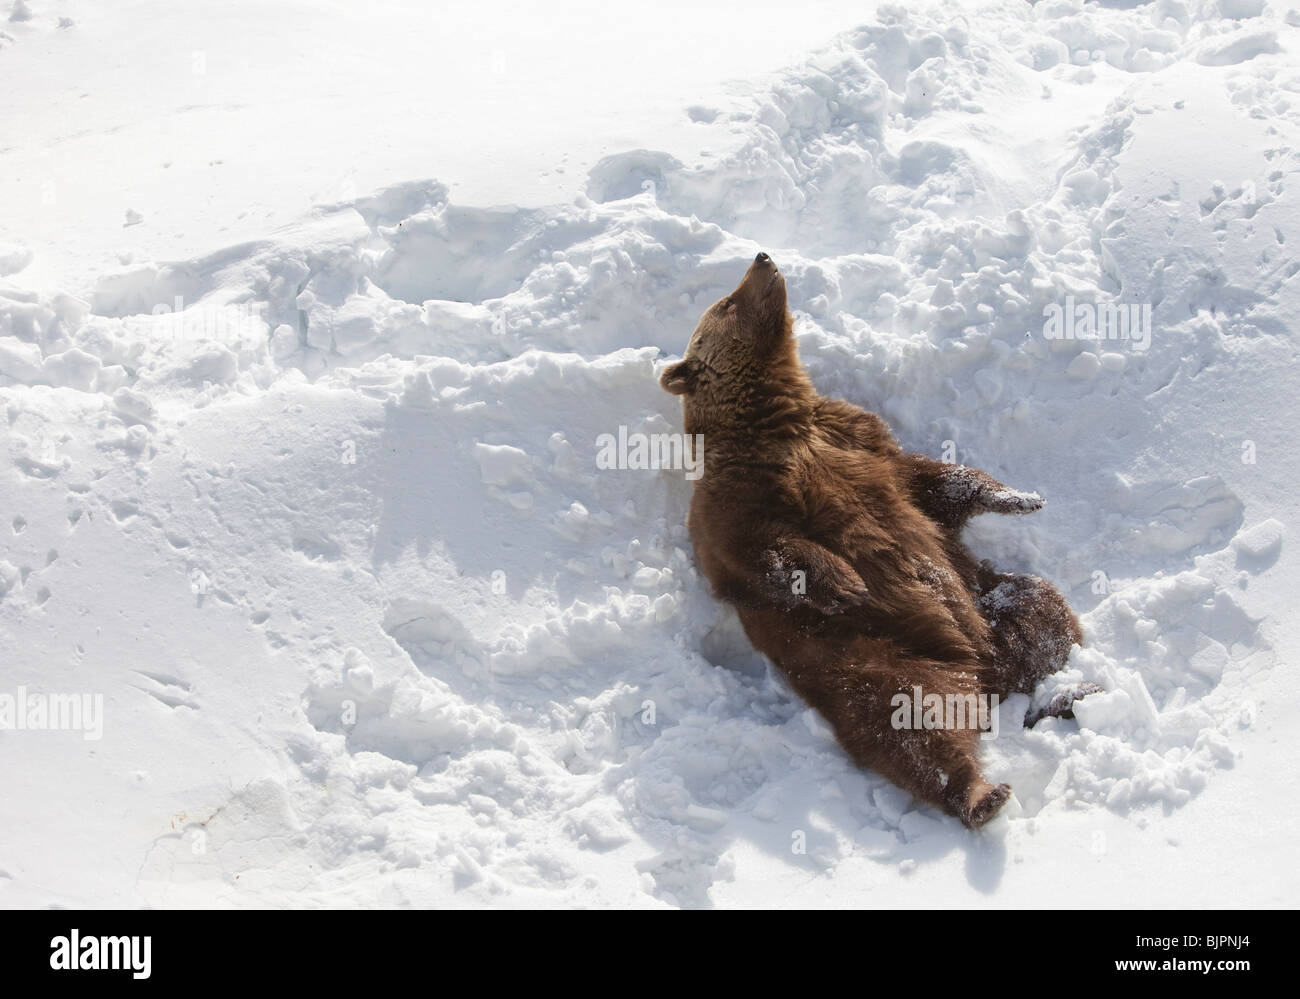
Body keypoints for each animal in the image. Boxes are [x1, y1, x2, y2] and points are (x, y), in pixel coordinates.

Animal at [659, 252, 1092, 828]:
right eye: (727, 303)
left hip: (987, 600)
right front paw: (843, 581)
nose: (762, 258)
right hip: (870, 656)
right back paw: (979, 793)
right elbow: (759, 546)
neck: (775, 420)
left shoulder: (860, 438)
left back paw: (1069, 689)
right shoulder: (735, 495)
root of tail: (987, 673)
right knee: (909, 720)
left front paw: (1018, 496)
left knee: (1039, 610)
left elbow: (930, 483)